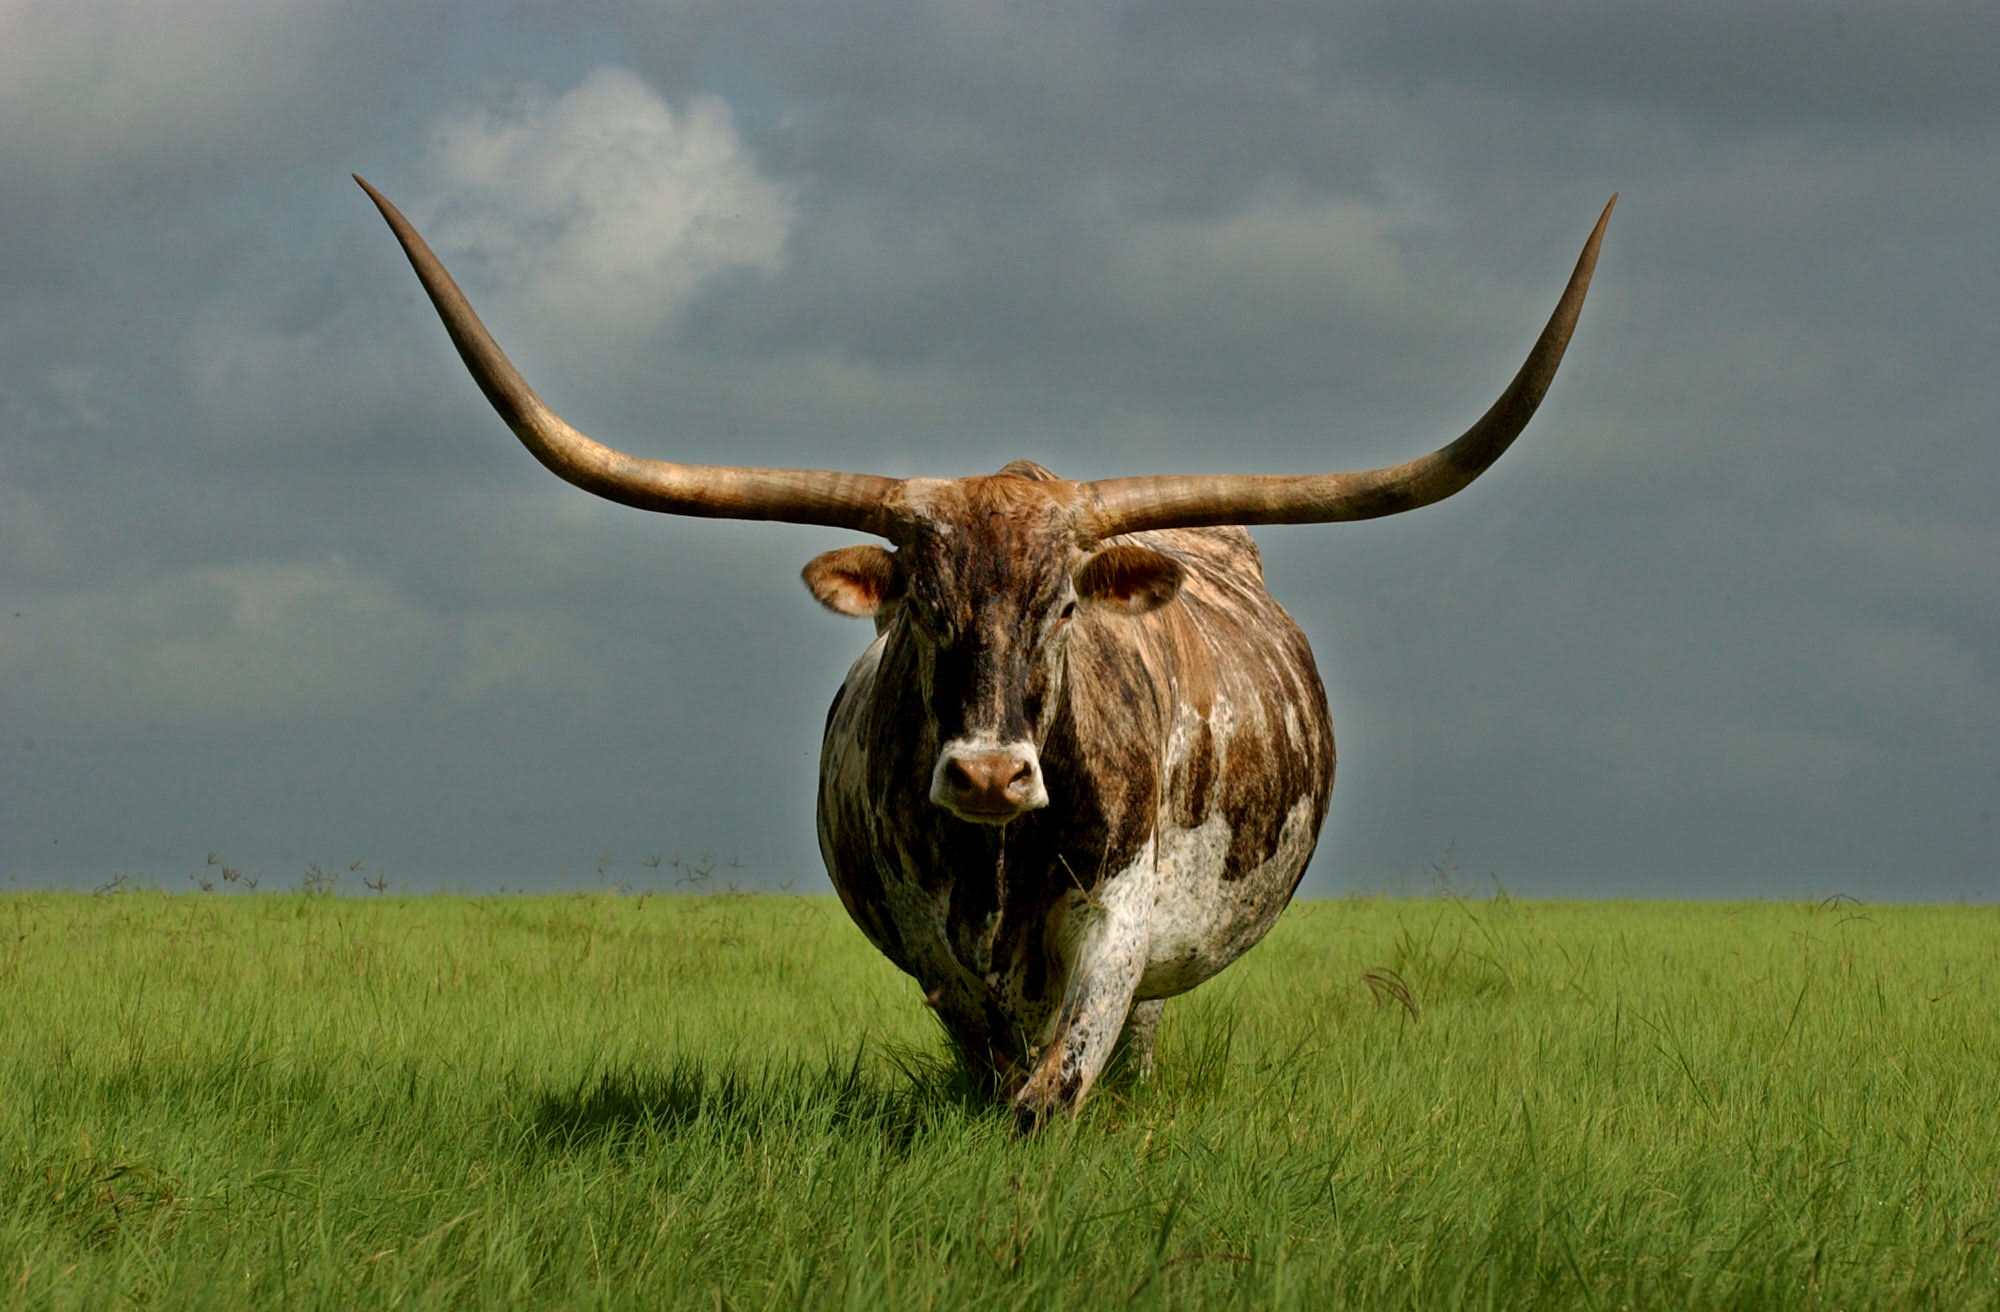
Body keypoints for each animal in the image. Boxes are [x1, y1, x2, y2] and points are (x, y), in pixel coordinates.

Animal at [359, 176, 1613, 1127]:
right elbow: (994, 1061)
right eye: (919, 609)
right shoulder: (933, 949)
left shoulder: (1120, 916)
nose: (989, 773)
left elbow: (1056, 1079)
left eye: (1060, 609)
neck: (998, 859)